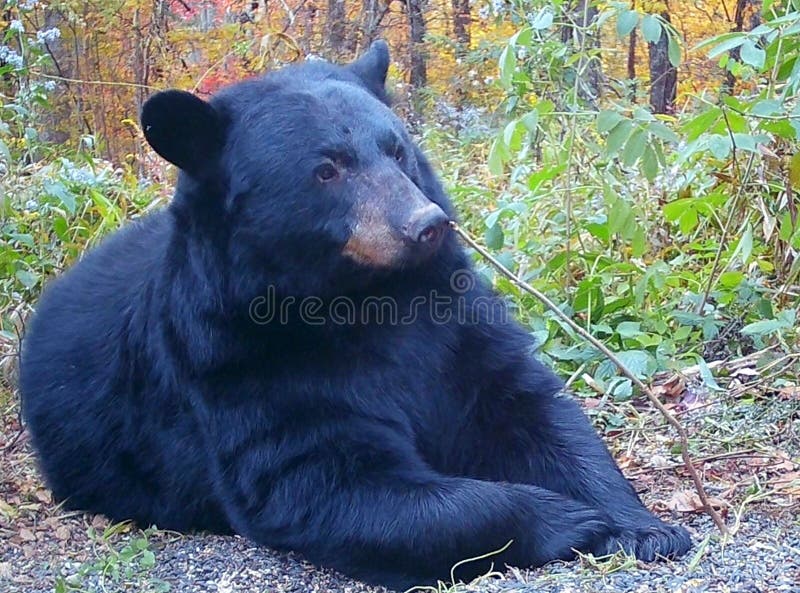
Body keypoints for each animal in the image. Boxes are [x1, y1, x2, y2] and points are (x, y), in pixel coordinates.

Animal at [20, 41, 691, 590]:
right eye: (326, 168)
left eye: (397, 149)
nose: (426, 224)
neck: (364, 298)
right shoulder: (239, 360)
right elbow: (328, 481)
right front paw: (569, 520)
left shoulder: (453, 324)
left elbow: (528, 409)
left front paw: (642, 524)